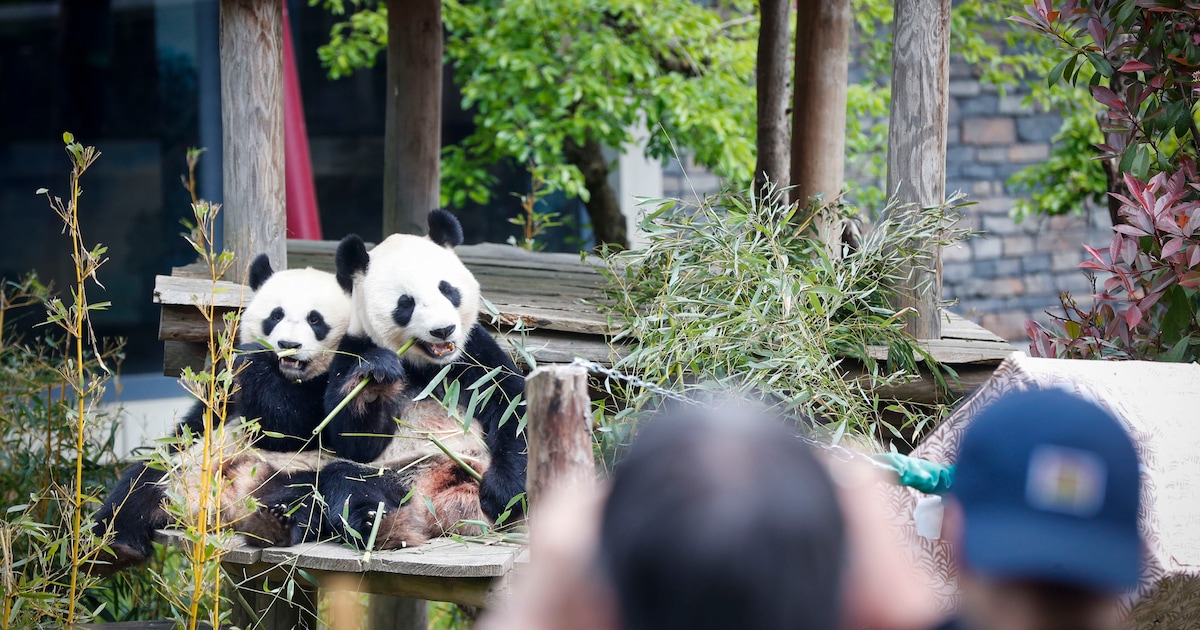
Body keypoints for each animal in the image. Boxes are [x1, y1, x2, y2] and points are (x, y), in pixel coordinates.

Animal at [90, 255, 351, 574]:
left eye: (315, 320)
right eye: (276, 315)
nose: (288, 346)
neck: (288, 373)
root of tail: (225, 506)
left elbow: (291, 428)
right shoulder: (221, 382)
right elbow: (202, 418)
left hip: (296, 473)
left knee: (308, 496)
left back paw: (272, 525)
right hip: (181, 469)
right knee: (135, 489)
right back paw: (113, 550)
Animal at [261, 210, 528, 550]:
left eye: (447, 289)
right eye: (406, 303)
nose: (442, 330)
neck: (427, 365)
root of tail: (441, 503)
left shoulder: (474, 354)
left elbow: (511, 407)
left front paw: (503, 493)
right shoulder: (353, 350)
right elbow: (355, 440)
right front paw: (376, 382)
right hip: (393, 472)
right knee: (339, 481)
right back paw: (360, 522)